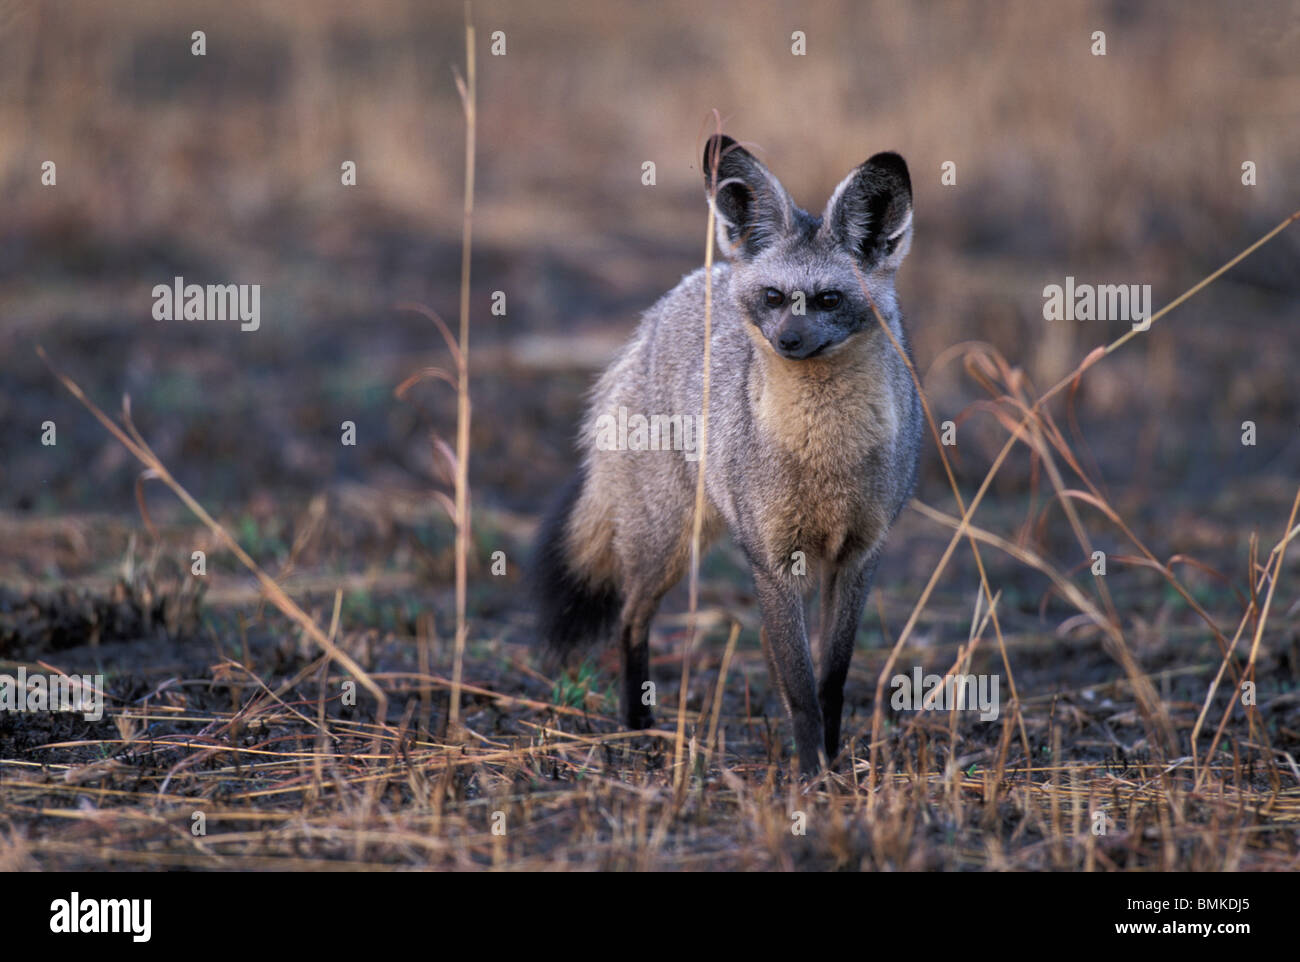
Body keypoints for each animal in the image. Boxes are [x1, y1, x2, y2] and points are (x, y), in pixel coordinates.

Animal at [532, 134, 923, 777]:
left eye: (828, 299)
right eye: (773, 298)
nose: (788, 341)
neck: (824, 457)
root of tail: (691, 284)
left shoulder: (857, 558)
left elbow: (830, 679)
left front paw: (831, 766)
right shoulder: (773, 559)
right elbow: (800, 686)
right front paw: (812, 775)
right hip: (667, 543)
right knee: (629, 619)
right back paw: (638, 729)